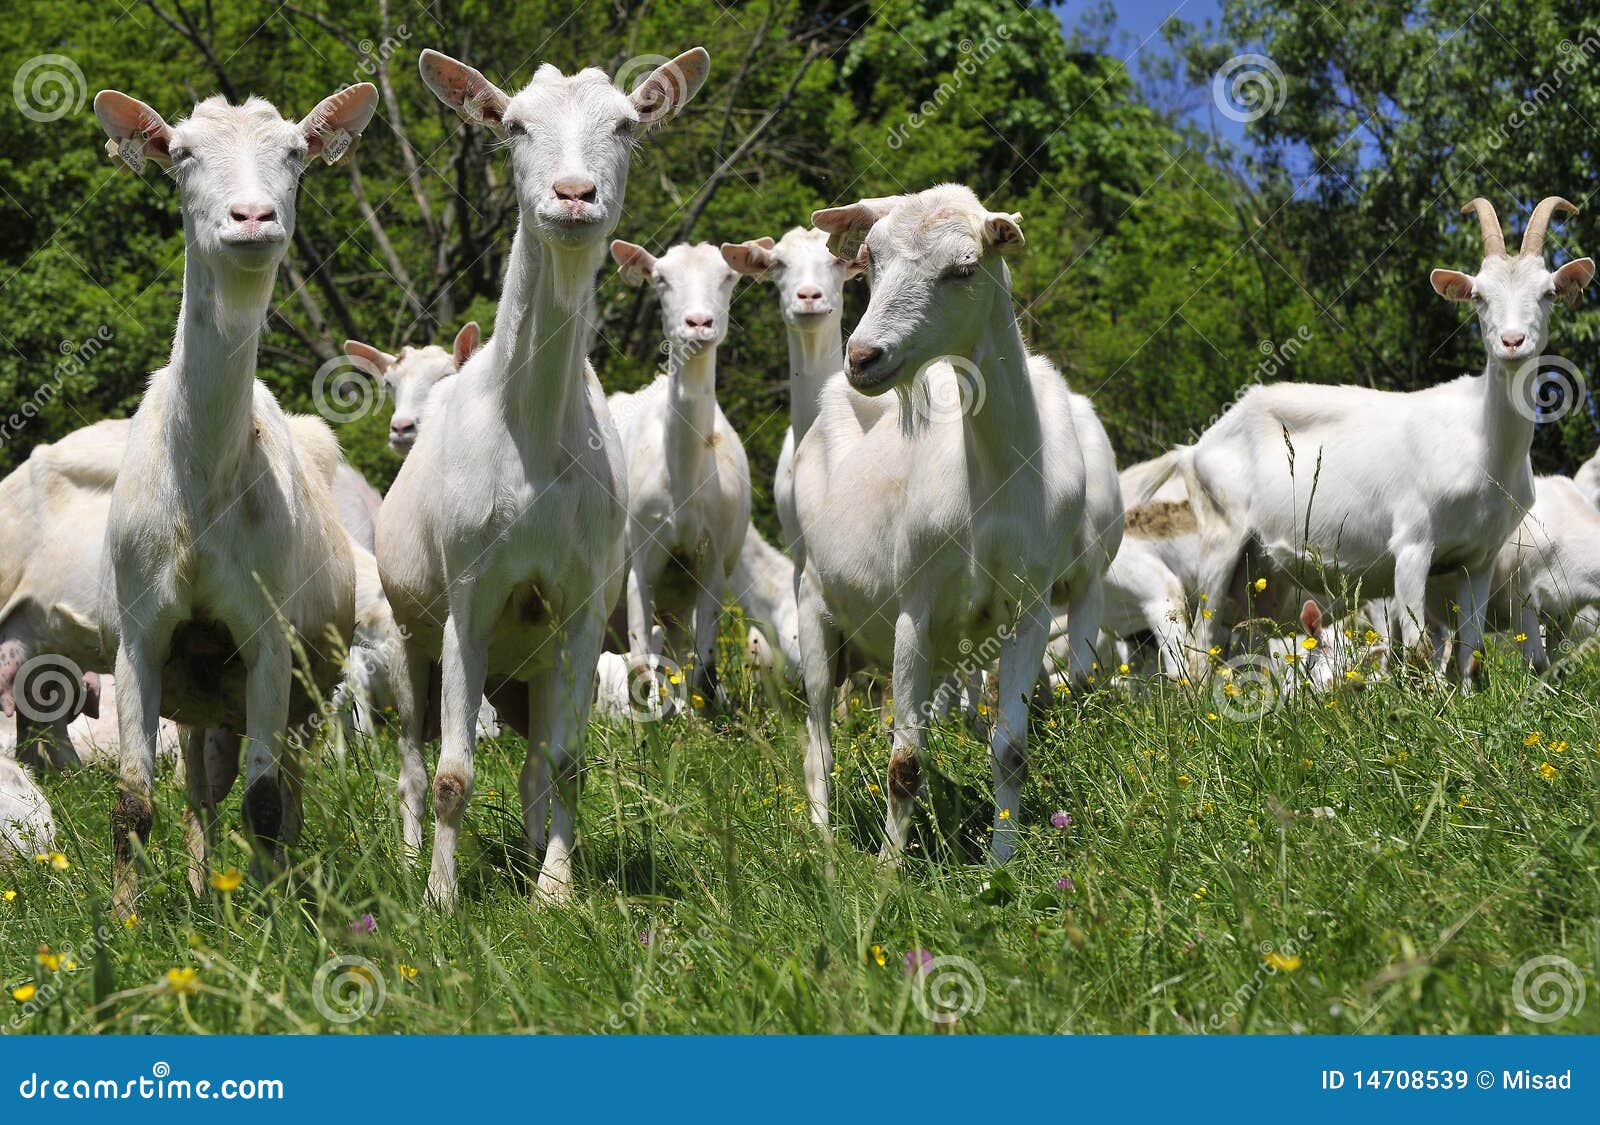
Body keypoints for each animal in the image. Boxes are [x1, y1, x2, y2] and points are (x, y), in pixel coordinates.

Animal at [93, 85, 373, 914]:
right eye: (182, 153)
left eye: (296, 152)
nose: (252, 218)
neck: (205, 483)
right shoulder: (141, 634)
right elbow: (133, 803)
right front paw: (124, 923)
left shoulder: (268, 636)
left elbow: (266, 802)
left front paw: (276, 918)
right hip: (198, 700)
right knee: (195, 793)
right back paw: (200, 888)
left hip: (303, 690)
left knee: (285, 786)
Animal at [377, 48, 709, 905]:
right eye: (516, 125)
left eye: (625, 124)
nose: (573, 195)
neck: (526, 440)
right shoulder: (468, 591)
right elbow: (453, 772)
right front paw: (440, 895)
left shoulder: (584, 599)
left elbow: (567, 760)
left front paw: (556, 892)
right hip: (407, 632)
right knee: (410, 754)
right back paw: (406, 854)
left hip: (530, 669)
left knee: (531, 756)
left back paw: (530, 849)